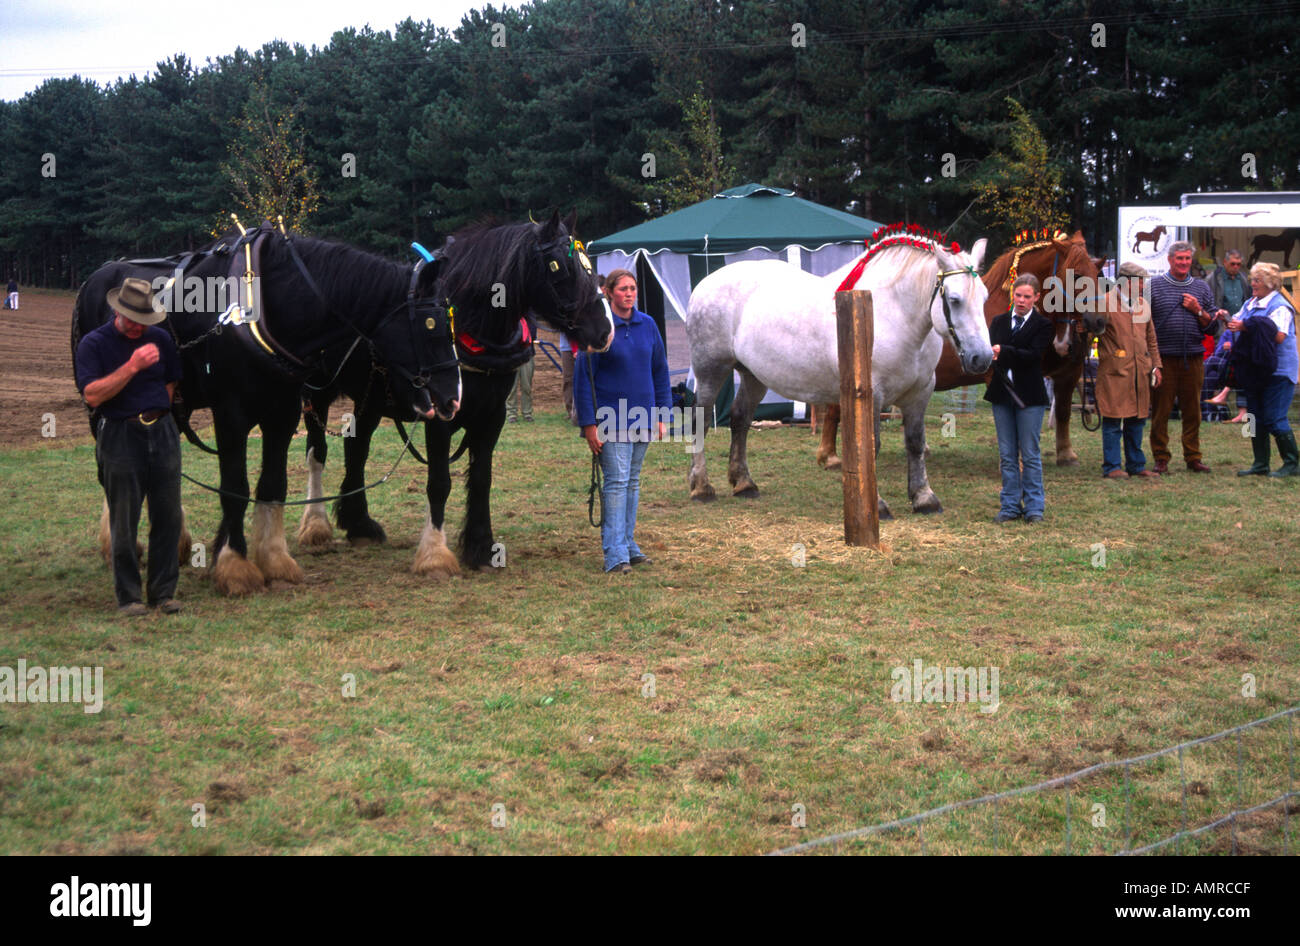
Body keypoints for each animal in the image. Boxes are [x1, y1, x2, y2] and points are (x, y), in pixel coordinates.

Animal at [71, 223, 461, 595]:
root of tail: (96, 276)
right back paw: (117, 543)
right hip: (101, 404)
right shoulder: (230, 415)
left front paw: (274, 561)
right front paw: (234, 565)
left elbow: (273, 484)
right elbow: (236, 488)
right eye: (430, 327)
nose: (453, 398)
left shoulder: (283, 413)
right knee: (110, 468)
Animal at [297, 211, 614, 575]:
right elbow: (439, 483)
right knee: (317, 453)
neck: (468, 324)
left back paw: (359, 524)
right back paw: (316, 525)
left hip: (371, 398)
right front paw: (434, 555)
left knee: (357, 448)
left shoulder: (492, 415)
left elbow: (481, 478)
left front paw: (481, 547)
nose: (606, 331)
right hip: (316, 393)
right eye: (559, 268)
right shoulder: (441, 414)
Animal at [685, 230, 991, 518]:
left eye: (985, 297)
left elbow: (915, 443)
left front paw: (924, 498)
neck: (892, 314)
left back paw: (744, 483)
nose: (983, 358)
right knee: (701, 420)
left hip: (753, 376)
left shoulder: (920, 393)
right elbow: (871, 447)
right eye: (955, 300)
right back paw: (701, 486)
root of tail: (705, 284)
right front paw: (877, 506)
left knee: (740, 420)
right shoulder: (872, 395)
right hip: (711, 369)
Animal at [815, 231, 1110, 469]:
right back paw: (829, 456)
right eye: (1077, 275)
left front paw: (1066, 454)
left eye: (1099, 275)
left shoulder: (1068, 373)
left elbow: (1062, 412)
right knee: (834, 409)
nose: (1099, 321)